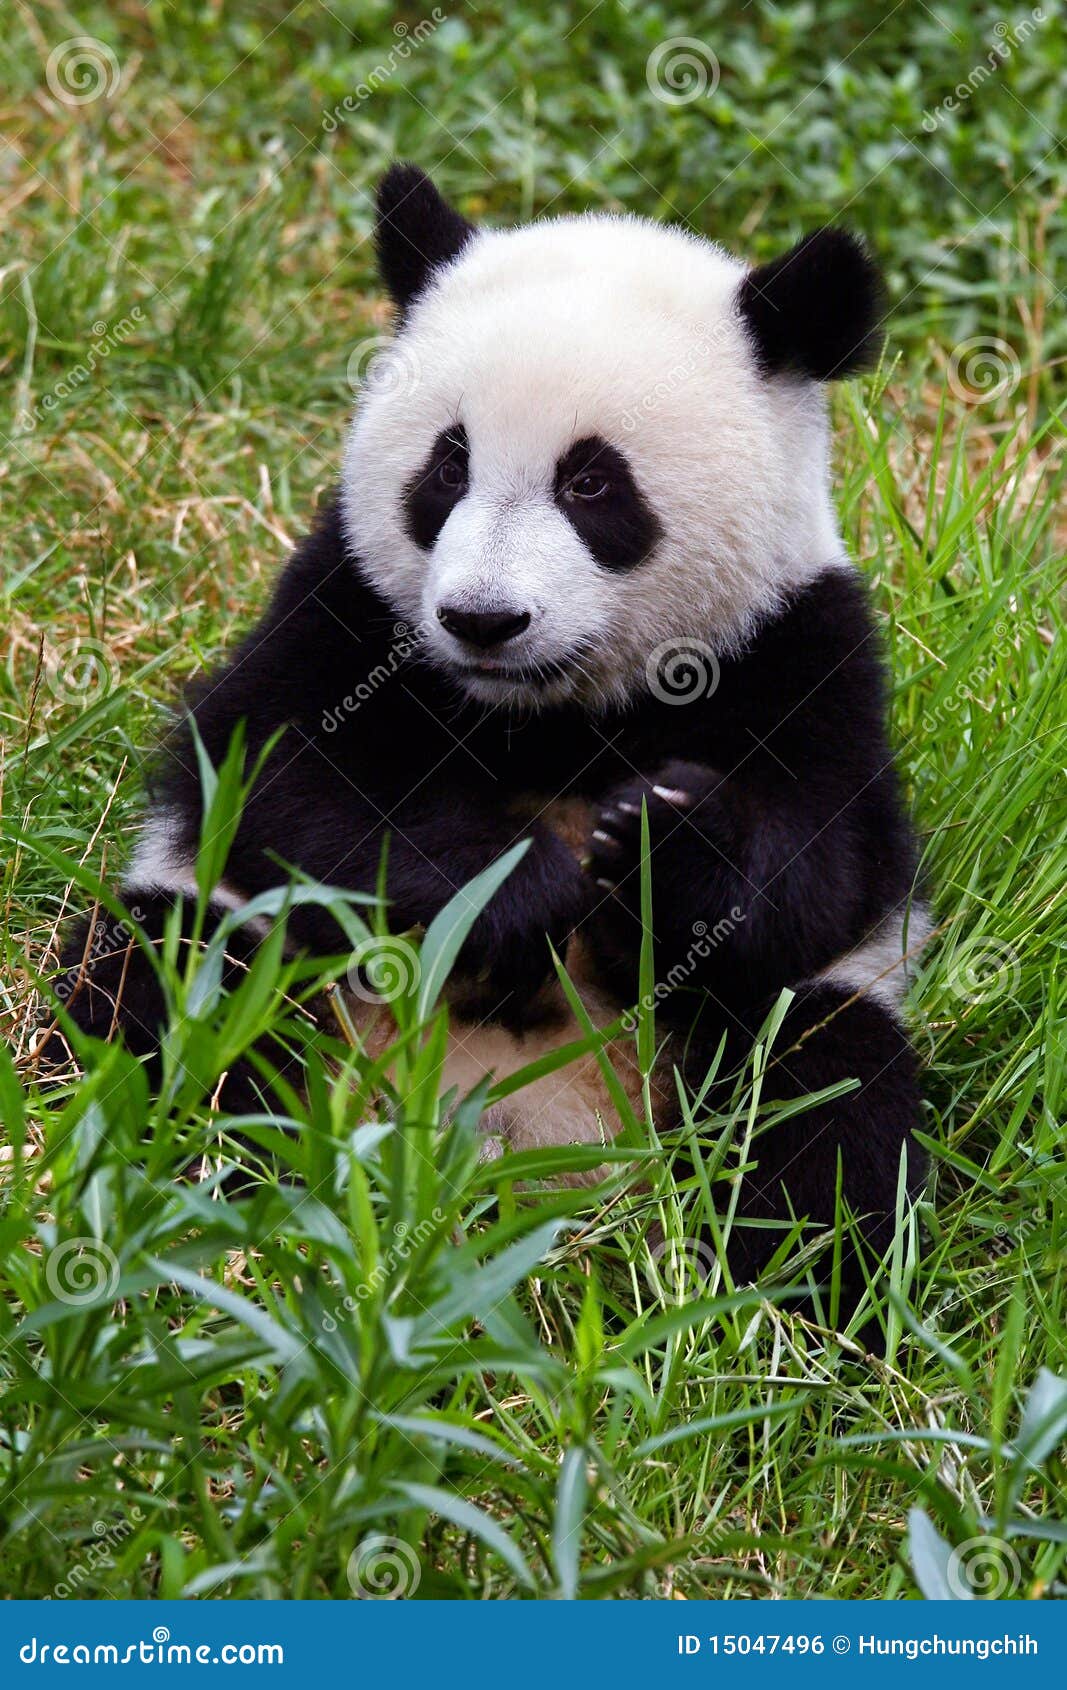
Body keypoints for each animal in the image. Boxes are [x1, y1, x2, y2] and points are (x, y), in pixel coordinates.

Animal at [54, 163, 928, 1311]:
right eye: (447, 467)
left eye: (592, 482)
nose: (481, 619)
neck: (542, 712)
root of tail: (498, 1145)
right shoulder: (348, 601)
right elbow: (283, 778)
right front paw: (516, 894)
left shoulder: (799, 643)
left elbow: (823, 866)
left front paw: (660, 839)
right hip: (275, 970)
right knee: (166, 994)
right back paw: (201, 1196)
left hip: (737, 1044)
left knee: (825, 1097)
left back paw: (790, 1292)